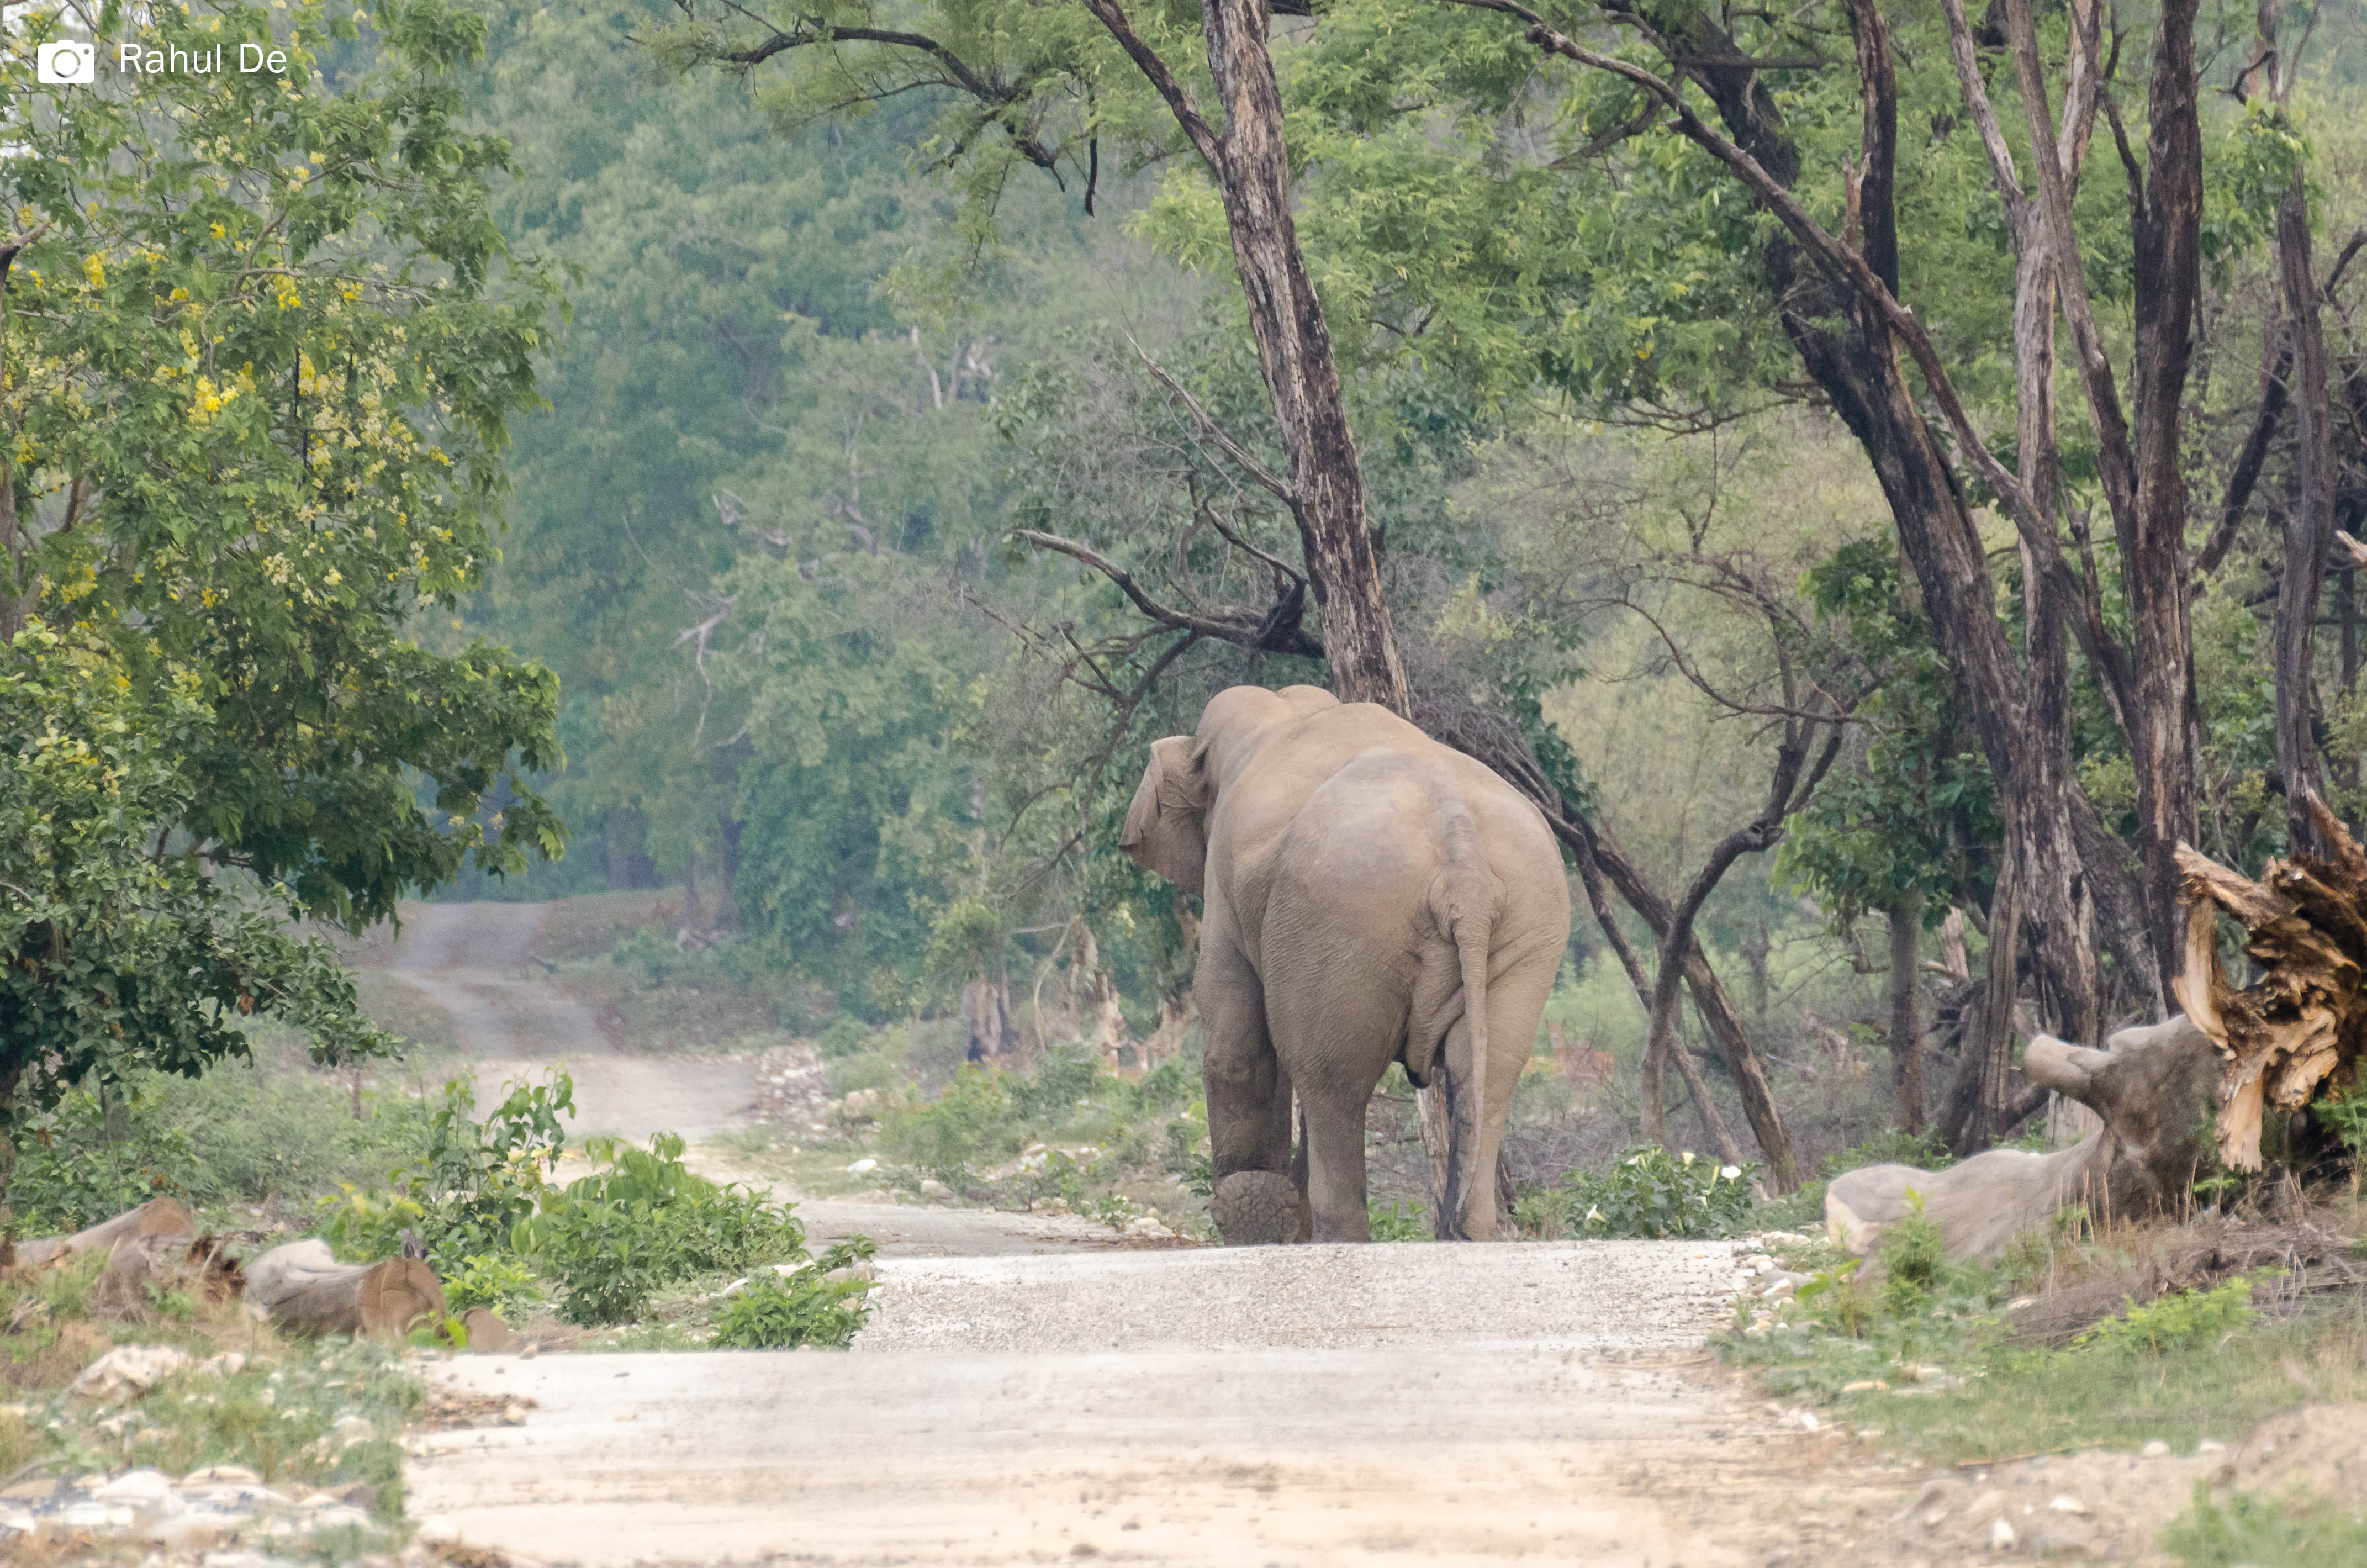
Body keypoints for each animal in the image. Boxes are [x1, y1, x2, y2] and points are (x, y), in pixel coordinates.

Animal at [1119, 684, 1571, 1244]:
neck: (1283, 711)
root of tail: (1460, 847)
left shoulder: (1224, 887)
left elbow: (1237, 1044)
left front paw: (1252, 1217)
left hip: (1341, 916)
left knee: (1332, 1081)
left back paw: (1333, 1236)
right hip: (1528, 924)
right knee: (1486, 1067)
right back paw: (1467, 1232)